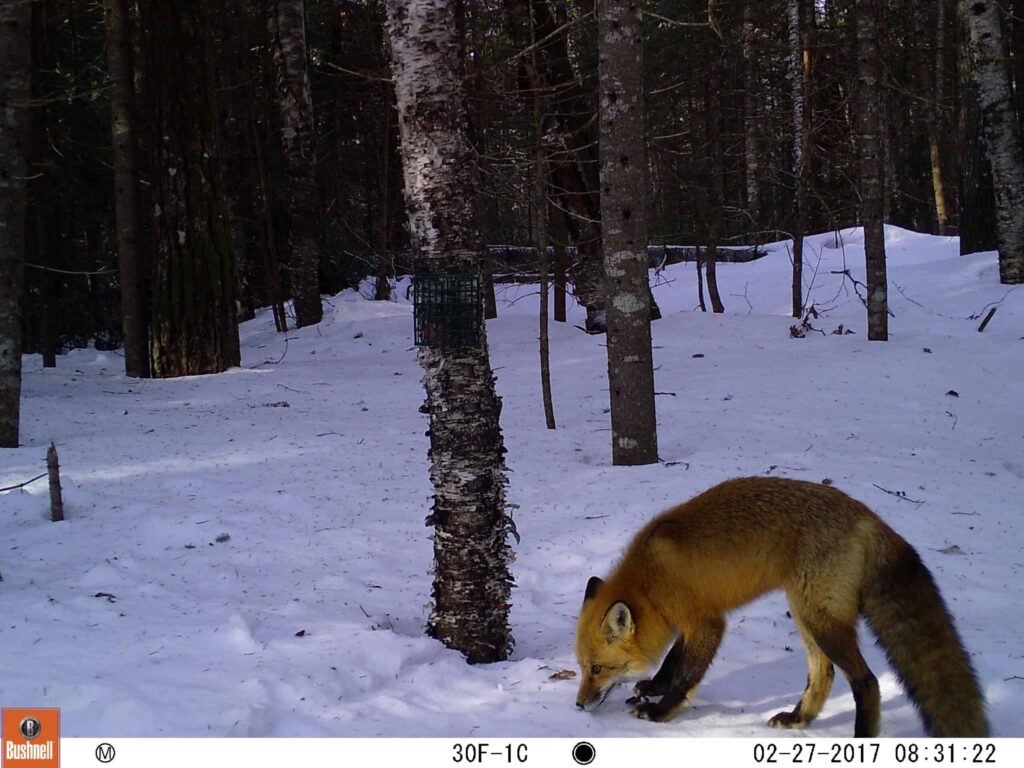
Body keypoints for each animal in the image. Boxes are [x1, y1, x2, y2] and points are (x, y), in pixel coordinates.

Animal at [574, 476, 989, 737]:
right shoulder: (689, 622)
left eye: (597, 669)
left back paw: (859, 737)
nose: (578, 706)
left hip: (821, 622)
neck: (649, 580)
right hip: (806, 615)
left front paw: (661, 710)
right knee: (824, 674)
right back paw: (797, 718)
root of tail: (867, 516)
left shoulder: (707, 622)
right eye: (581, 668)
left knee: (866, 681)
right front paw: (652, 687)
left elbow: (685, 675)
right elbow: (672, 661)